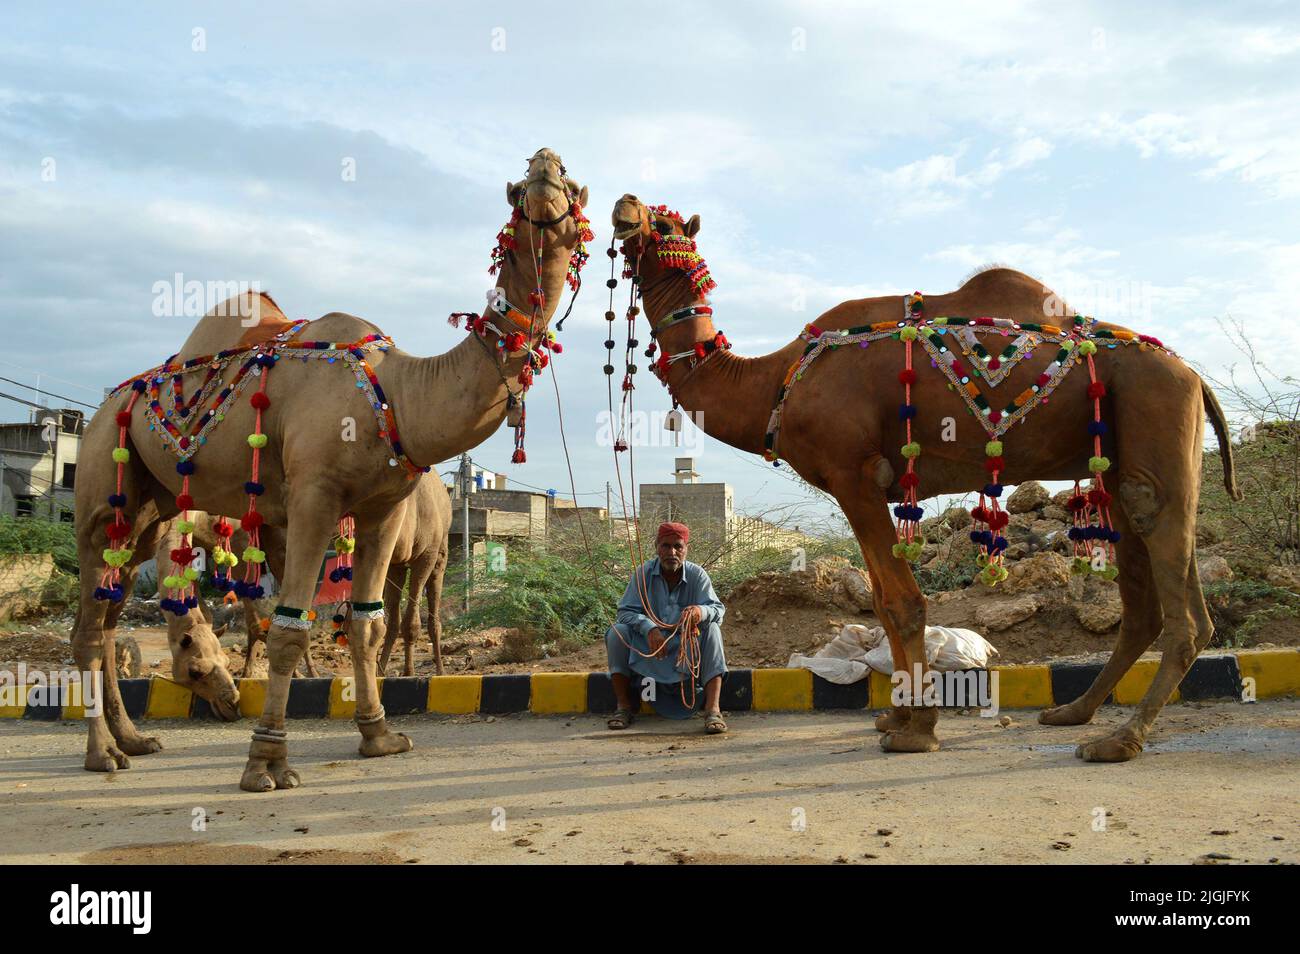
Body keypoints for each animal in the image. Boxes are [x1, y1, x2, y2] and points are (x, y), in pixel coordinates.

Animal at [71, 148, 590, 789]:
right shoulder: (313, 496)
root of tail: (102, 410)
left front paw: (379, 735)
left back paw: (134, 740)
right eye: (517, 193)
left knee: (109, 618)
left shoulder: (383, 509)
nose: (545, 164)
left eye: (575, 186)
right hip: (100, 490)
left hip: (148, 513)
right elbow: (289, 628)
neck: (398, 395)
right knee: (89, 628)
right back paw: (103, 752)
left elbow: (367, 625)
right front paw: (266, 762)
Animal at [609, 194, 1241, 762]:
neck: (773, 382)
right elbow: (882, 602)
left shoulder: (853, 473)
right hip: (1127, 464)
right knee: (1153, 605)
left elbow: (903, 603)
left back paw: (1120, 739)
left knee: (1182, 610)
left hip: (1157, 430)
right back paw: (1075, 712)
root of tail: (1195, 377)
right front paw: (897, 716)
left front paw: (918, 731)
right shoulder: (864, 485)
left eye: (663, 224)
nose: (625, 206)